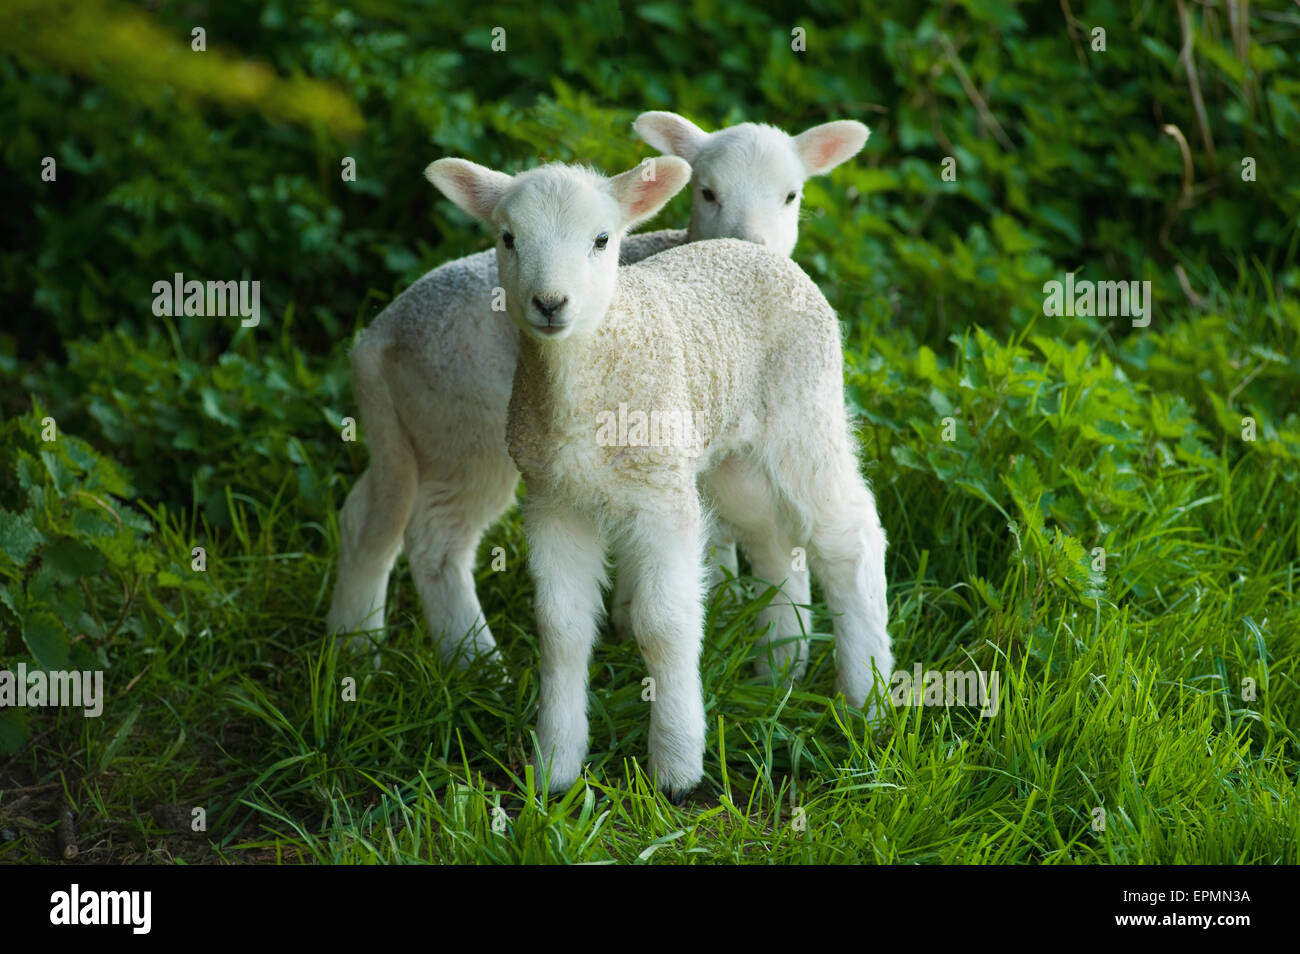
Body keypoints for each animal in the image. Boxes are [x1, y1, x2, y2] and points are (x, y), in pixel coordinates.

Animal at [327, 113, 870, 679]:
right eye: (707, 192)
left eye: (792, 195)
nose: (751, 245)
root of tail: (378, 338)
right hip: (466, 432)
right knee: (438, 540)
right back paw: (479, 665)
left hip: (412, 429)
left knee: (369, 517)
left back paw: (353, 646)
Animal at [424, 155, 891, 796]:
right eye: (508, 238)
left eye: (602, 240)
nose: (550, 303)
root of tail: (757, 251)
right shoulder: (553, 501)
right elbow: (562, 630)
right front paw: (554, 767)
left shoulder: (660, 497)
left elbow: (664, 626)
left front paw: (675, 767)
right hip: (728, 450)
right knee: (772, 538)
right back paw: (778, 670)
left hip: (805, 409)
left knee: (850, 536)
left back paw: (868, 698)